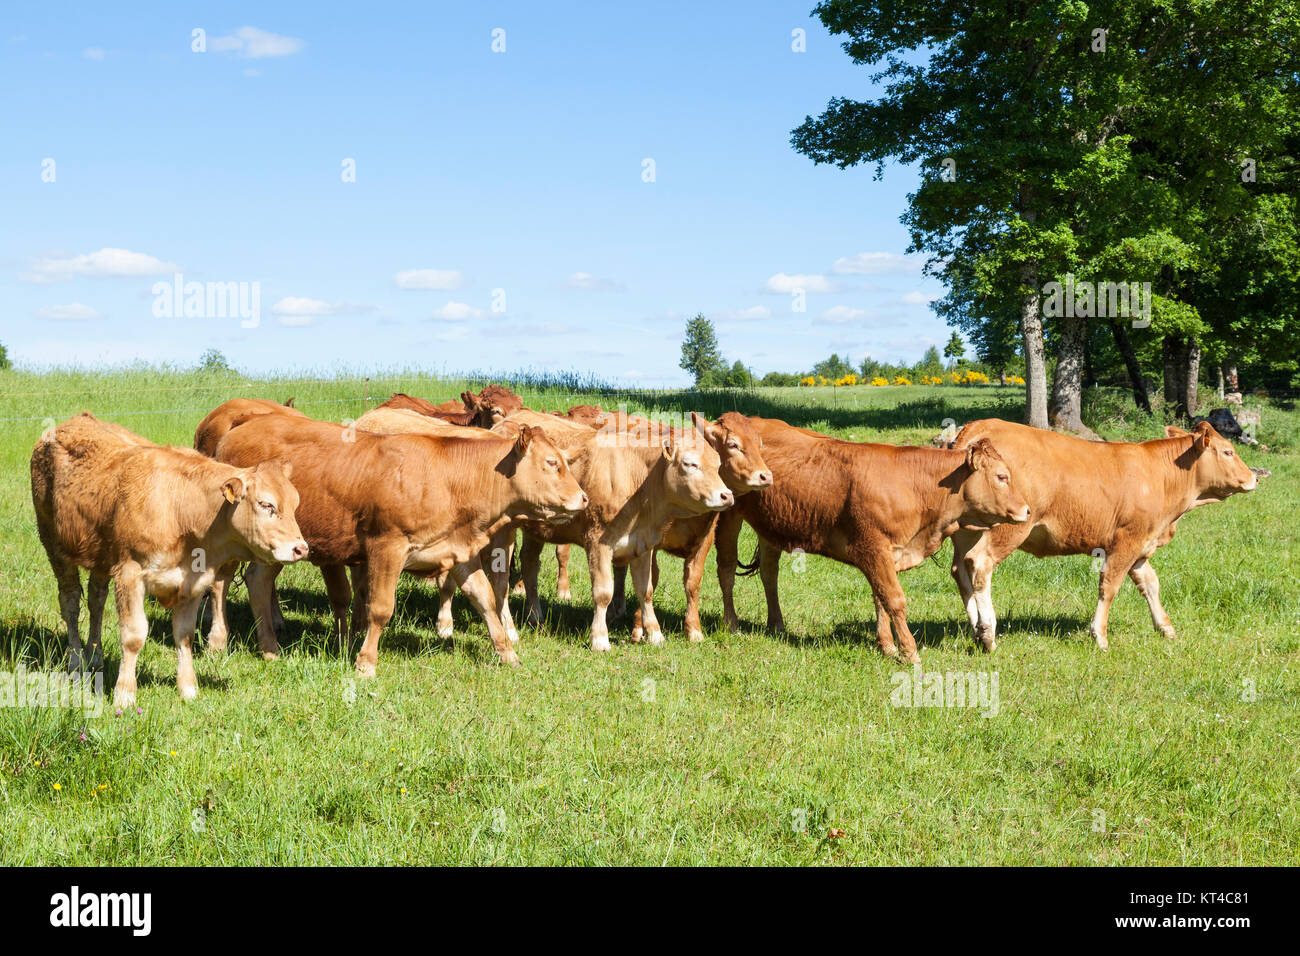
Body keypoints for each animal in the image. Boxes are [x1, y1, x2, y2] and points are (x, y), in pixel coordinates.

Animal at [30, 413, 309, 705]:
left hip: (101, 557)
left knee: (96, 600)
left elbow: (184, 634)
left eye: (295, 504)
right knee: (70, 602)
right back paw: (76, 662)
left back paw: (95, 656)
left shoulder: (195, 581)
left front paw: (188, 688)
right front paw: (124, 694)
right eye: (266, 504)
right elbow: (133, 635)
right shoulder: (130, 574)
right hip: (55, 546)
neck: (179, 507)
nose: (300, 548)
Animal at [212, 413, 586, 671]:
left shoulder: (458, 548)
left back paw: (270, 648)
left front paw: (507, 653)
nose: (582, 499)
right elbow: (380, 608)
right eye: (552, 463)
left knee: (257, 581)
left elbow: (485, 599)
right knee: (220, 584)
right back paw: (218, 642)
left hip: (278, 547)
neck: (448, 477)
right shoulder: (387, 547)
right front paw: (365, 662)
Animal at [507, 408, 736, 650]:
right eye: (689, 464)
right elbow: (603, 593)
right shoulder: (598, 542)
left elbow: (646, 590)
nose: (726, 495)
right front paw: (599, 638)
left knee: (530, 564)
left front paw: (655, 634)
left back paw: (535, 617)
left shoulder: (643, 543)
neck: (636, 481)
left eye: (718, 466)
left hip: (535, 531)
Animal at [715, 416, 1031, 663]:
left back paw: (777, 625)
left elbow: (880, 598)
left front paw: (887, 646)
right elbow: (894, 599)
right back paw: (731, 625)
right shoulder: (873, 547)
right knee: (726, 569)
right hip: (728, 516)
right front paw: (909, 651)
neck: (915, 486)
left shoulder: (887, 553)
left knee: (769, 573)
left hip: (772, 525)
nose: (1027, 510)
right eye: (1002, 477)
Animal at [947, 418, 1259, 652]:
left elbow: (1151, 584)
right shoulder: (1125, 542)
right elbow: (1109, 586)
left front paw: (1166, 628)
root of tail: (978, 427)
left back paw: (976, 630)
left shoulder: (1141, 546)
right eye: (1228, 451)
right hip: (1011, 526)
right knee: (980, 564)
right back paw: (988, 632)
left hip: (968, 531)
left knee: (961, 570)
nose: (1255, 477)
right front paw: (1100, 636)